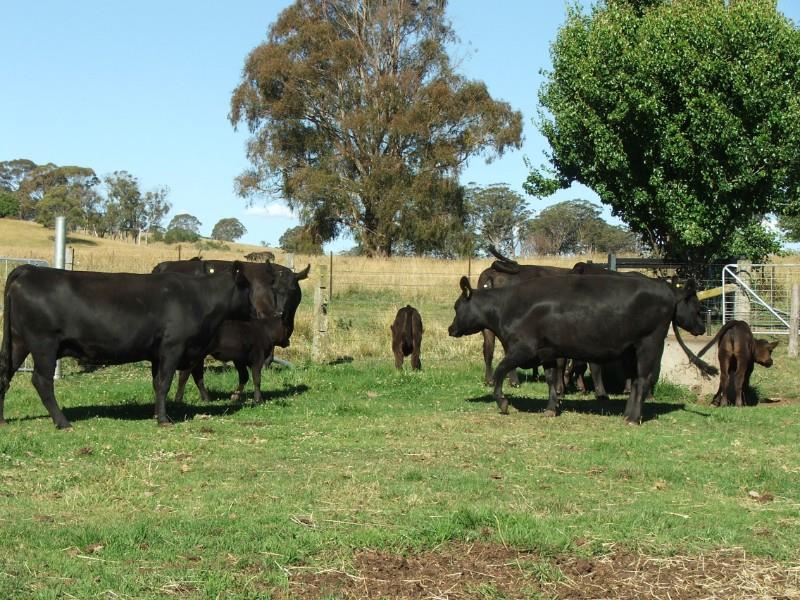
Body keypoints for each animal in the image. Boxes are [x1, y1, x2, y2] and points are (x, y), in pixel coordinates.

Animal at [0, 263, 253, 428]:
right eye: (249, 289)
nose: (258, 311)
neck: (199, 298)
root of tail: (29, 269)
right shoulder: (173, 346)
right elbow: (164, 383)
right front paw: (164, 420)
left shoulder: (157, 353)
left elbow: (156, 383)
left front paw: (157, 415)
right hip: (44, 344)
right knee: (42, 381)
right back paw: (63, 422)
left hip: (18, 342)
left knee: (4, 376)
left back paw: (2, 420)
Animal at [448, 273, 716, 425]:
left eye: (456, 306)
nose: (450, 329)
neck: (507, 306)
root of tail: (666, 289)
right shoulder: (547, 352)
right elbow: (550, 379)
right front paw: (551, 409)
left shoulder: (523, 349)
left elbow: (500, 371)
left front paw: (502, 402)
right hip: (633, 348)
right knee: (636, 381)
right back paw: (627, 413)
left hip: (649, 344)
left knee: (641, 380)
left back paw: (632, 418)